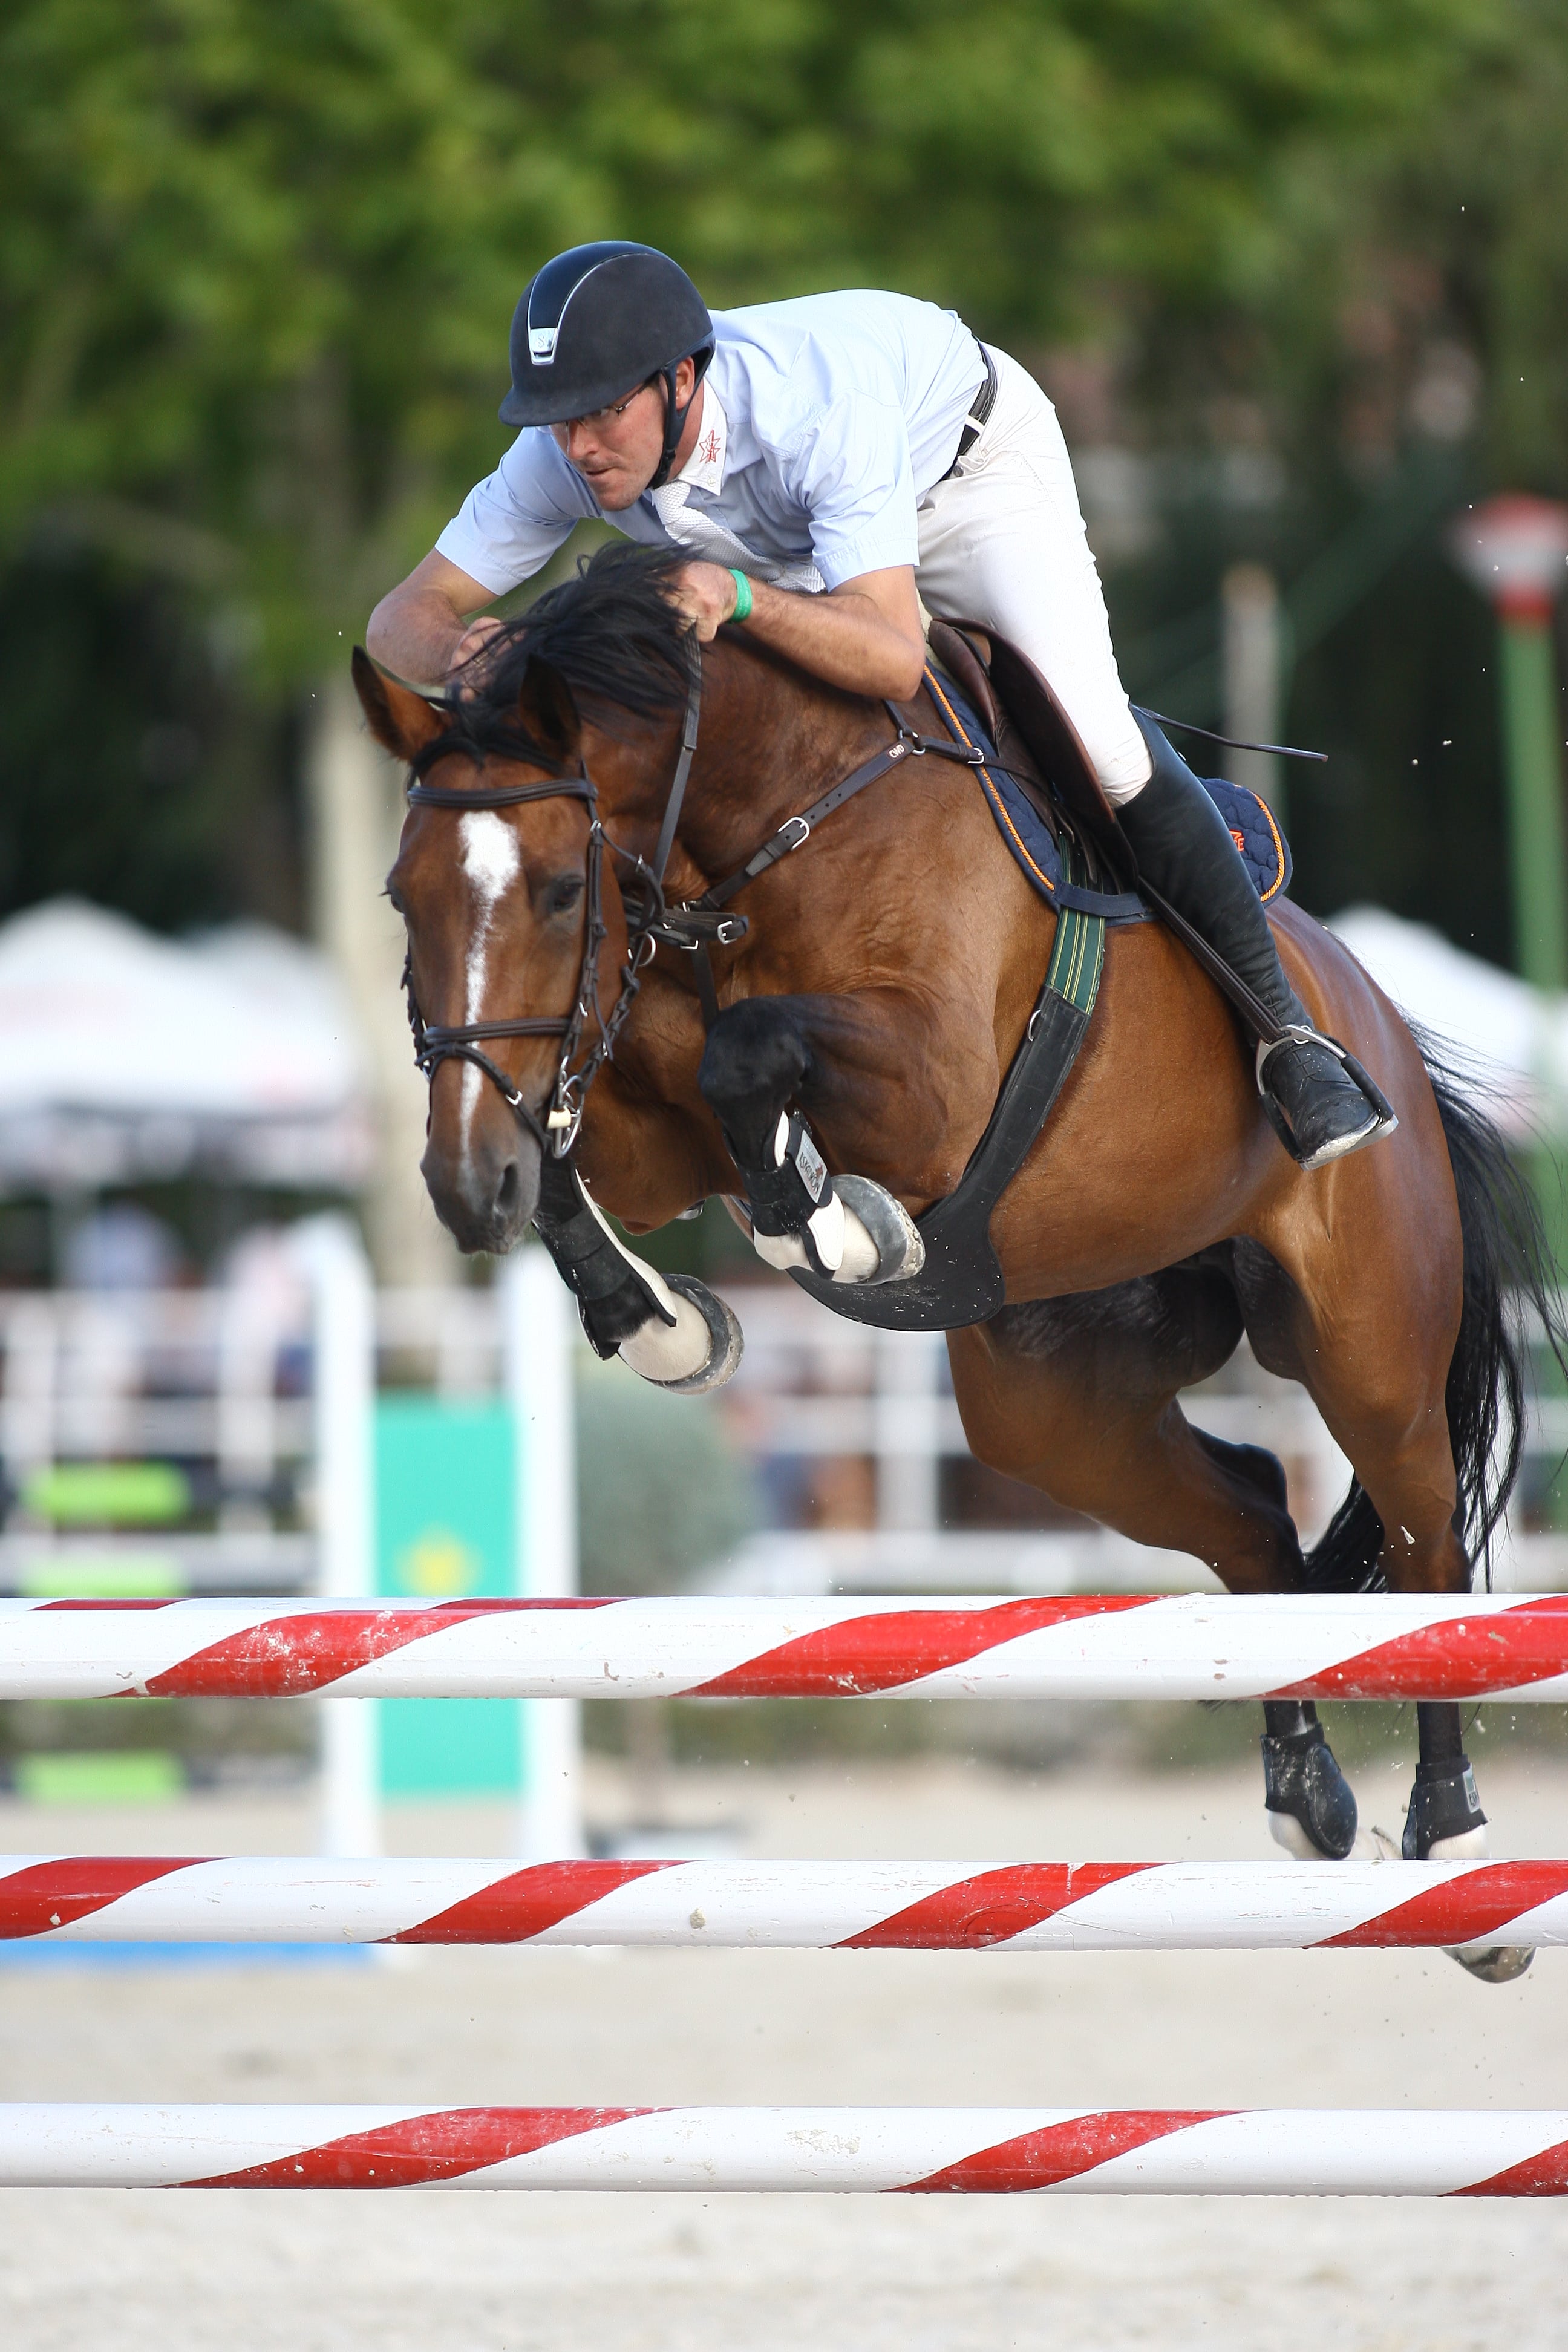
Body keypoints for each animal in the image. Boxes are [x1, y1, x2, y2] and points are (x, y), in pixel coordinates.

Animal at [357, 541, 1561, 1970]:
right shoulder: (642, 1119)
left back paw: (1459, 1849)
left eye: (553, 891)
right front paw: (666, 1318)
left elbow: (750, 1052)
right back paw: (1307, 1801)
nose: (457, 1185)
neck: (749, 836)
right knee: (1259, 1518)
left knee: (1429, 1558)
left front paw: (830, 1223)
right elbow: (586, 1138)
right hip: (1059, 1411)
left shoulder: (928, 1084)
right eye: (403, 896)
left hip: (1367, 1351)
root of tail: (1385, 1034)